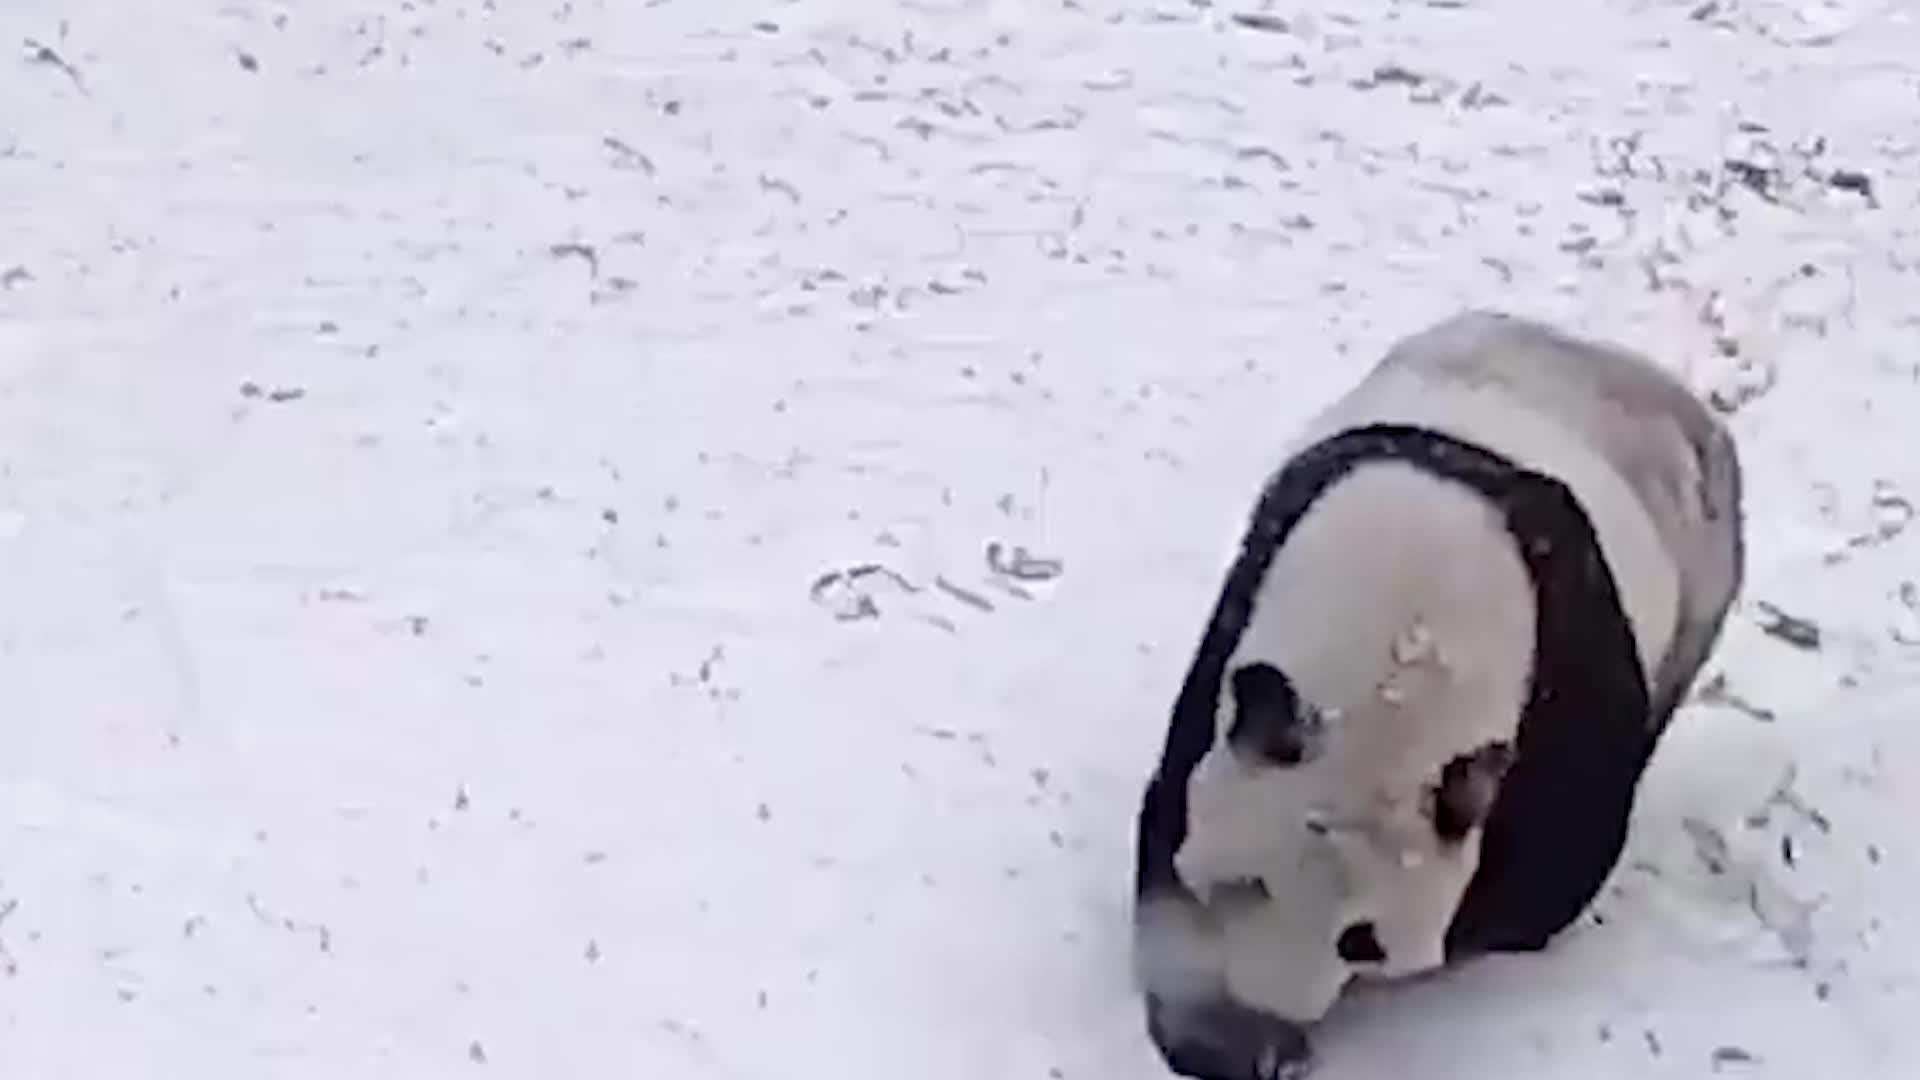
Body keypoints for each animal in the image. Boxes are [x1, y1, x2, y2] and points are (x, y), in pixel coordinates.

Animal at [1132, 310, 1745, 1080]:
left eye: (1363, 942)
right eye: (1249, 884)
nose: (1266, 1016)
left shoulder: (1570, 692)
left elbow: (1551, 872)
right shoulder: (1242, 625)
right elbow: (1171, 816)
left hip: (1701, 583)